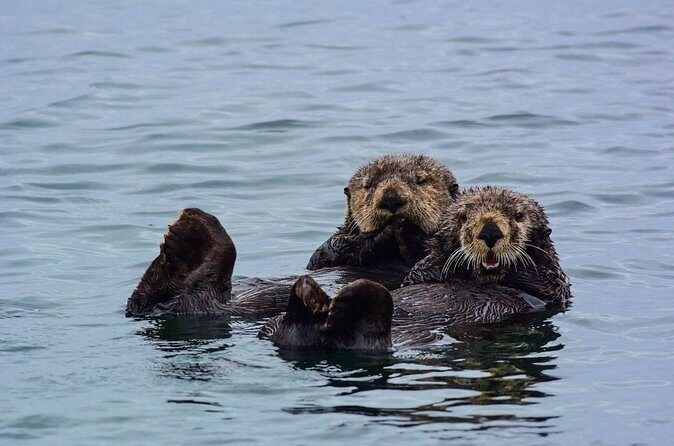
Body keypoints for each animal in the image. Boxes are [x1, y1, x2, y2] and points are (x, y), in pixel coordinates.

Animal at [126, 155, 458, 317]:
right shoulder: (327, 250)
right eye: (369, 185)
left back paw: (189, 240)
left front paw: (405, 230)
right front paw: (382, 234)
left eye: (420, 181)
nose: (391, 199)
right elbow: (326, 253)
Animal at [261, 186, 571, 351]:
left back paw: (345, 299)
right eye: (464, 216)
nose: (490, 231)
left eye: (518, 216)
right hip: (273, 326)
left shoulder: (554, 288)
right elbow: (422, 272)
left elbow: (544, 281)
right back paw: (311, 296)